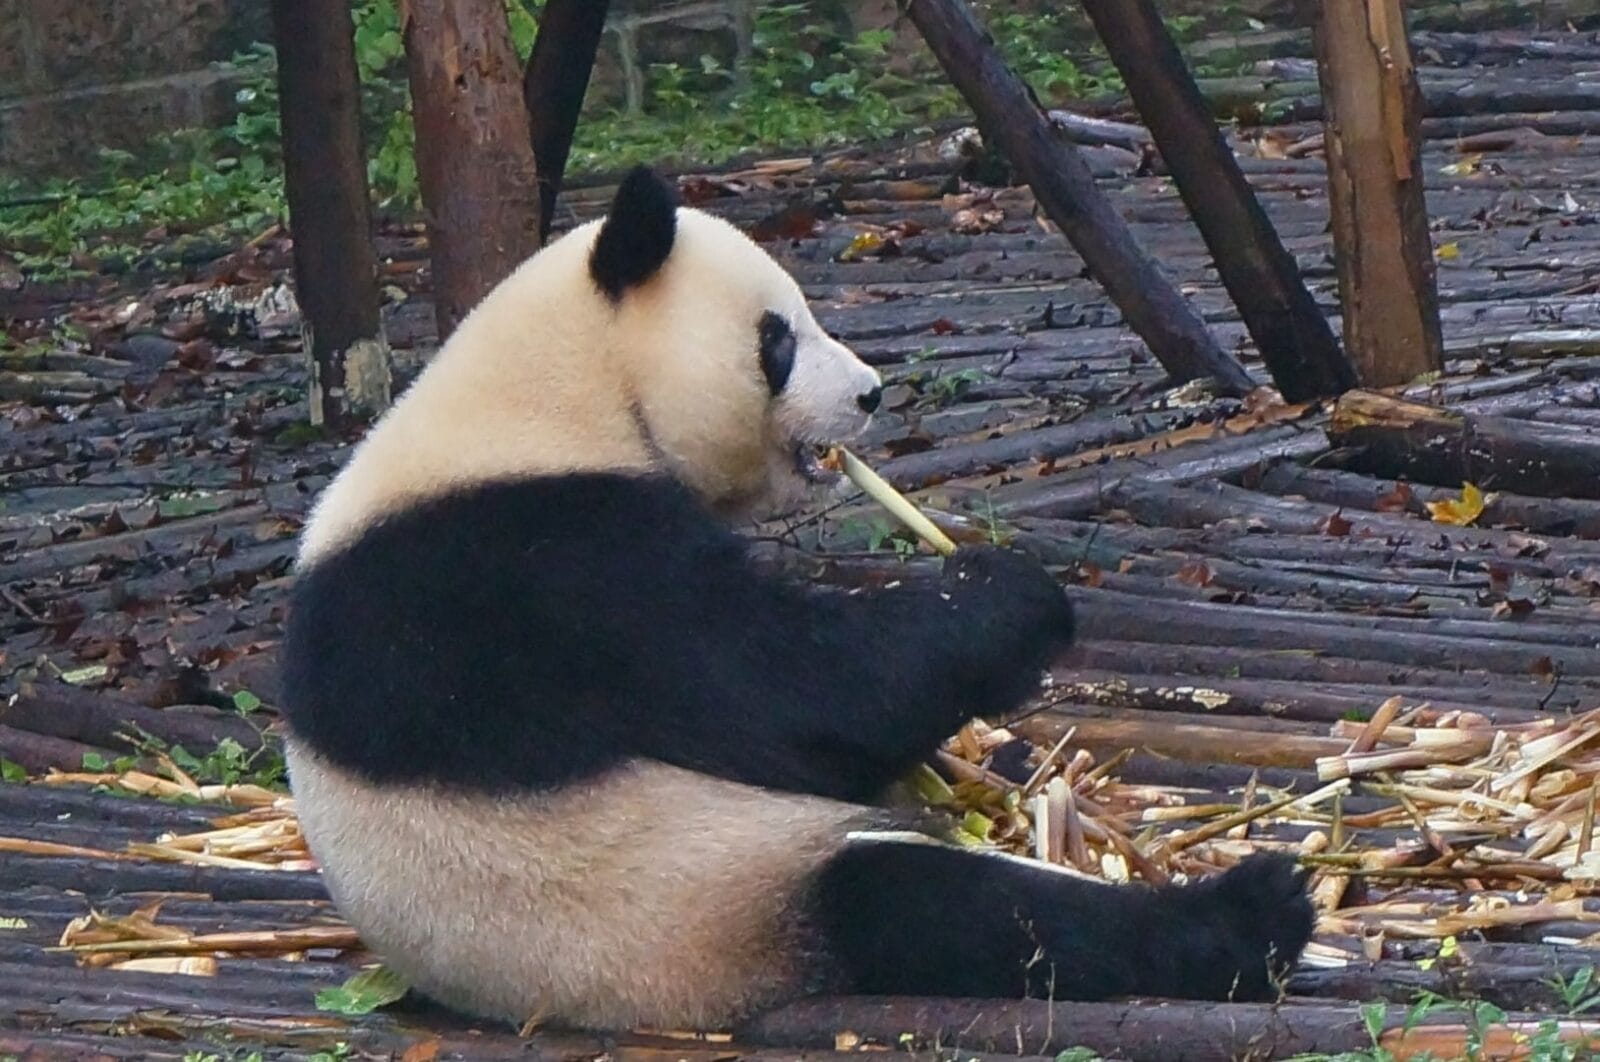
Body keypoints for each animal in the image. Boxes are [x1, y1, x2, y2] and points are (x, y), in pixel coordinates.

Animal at [280, 166, 1314, 1033]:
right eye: (777, 338)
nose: (871, 394)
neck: (553, 392)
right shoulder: (532, 562)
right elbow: (787, 693)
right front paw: (1002, 591)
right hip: (698, 904)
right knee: (940, 908)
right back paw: (1255, 913)